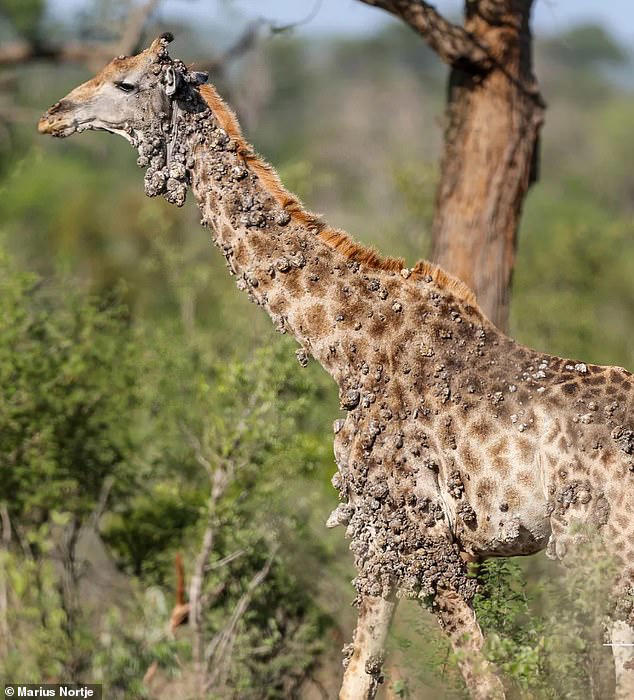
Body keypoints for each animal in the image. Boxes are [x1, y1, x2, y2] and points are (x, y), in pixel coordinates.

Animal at [38, 34, 634, 699]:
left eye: (127, 83)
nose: (52, 115)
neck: (345, 348)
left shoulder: (412, 533)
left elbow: (470, 677)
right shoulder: (383, 538)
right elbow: (362, 669)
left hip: (603, 554)